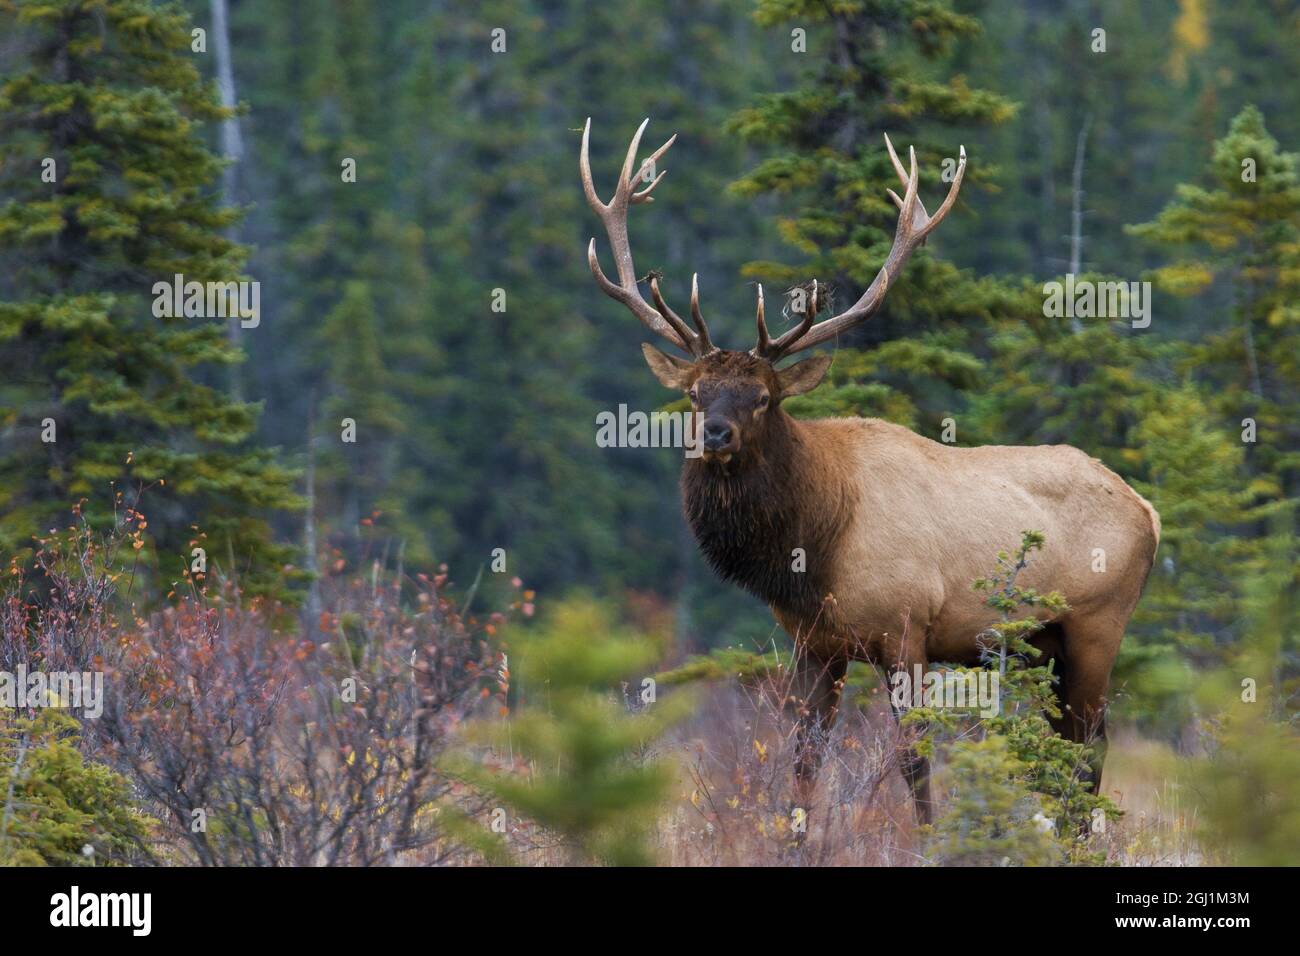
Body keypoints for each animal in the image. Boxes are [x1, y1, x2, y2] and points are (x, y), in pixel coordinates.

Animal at [580, 118, 1161, 823]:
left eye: (764, 397)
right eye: (695, 393)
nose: (716, 434)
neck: (814, 547)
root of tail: (1150, 512)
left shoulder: (907, 629)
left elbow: (914, 760)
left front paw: (931, 836)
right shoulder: (812, 644)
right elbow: (804, 761)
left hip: (1097, 625)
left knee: (1090, 751)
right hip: (1046, 644)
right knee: (1069, 749)